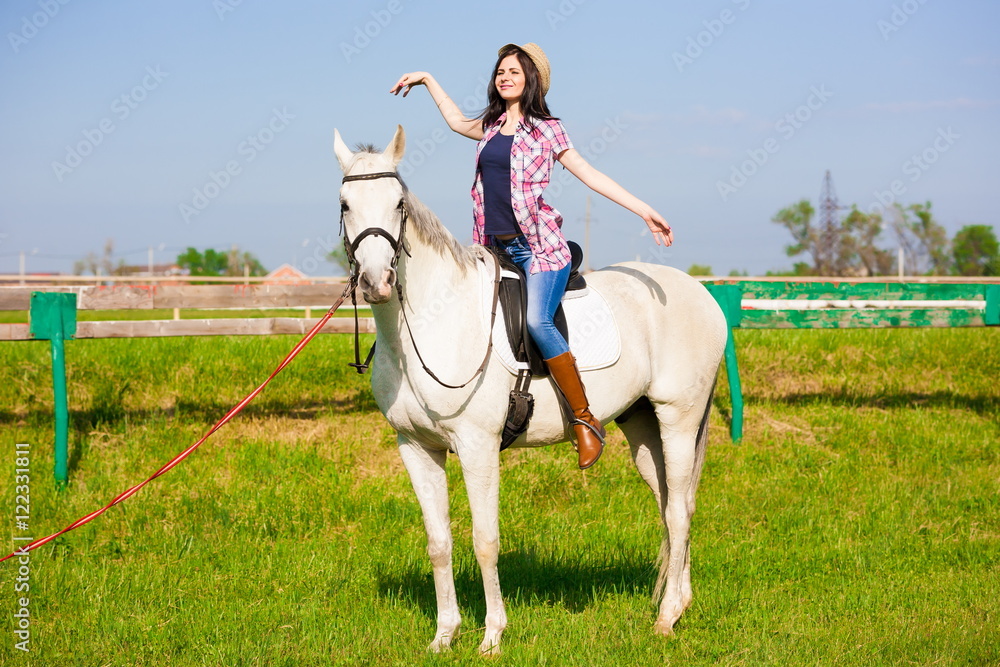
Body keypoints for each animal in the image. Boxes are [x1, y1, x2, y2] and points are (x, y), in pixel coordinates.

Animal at [333, 125, 728, 654]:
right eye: (345, 204)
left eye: (399, 203)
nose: (378, 281)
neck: (434, 320)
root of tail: (701, 293)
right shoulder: (416, 447)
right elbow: (439, 543)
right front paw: (444, 635)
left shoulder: (477, 447)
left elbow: (485, 540)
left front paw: (492, 636)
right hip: (645, 429)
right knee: (671, 507)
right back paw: (677, 604)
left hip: (679, 420)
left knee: (681, 512)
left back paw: (666, 619)